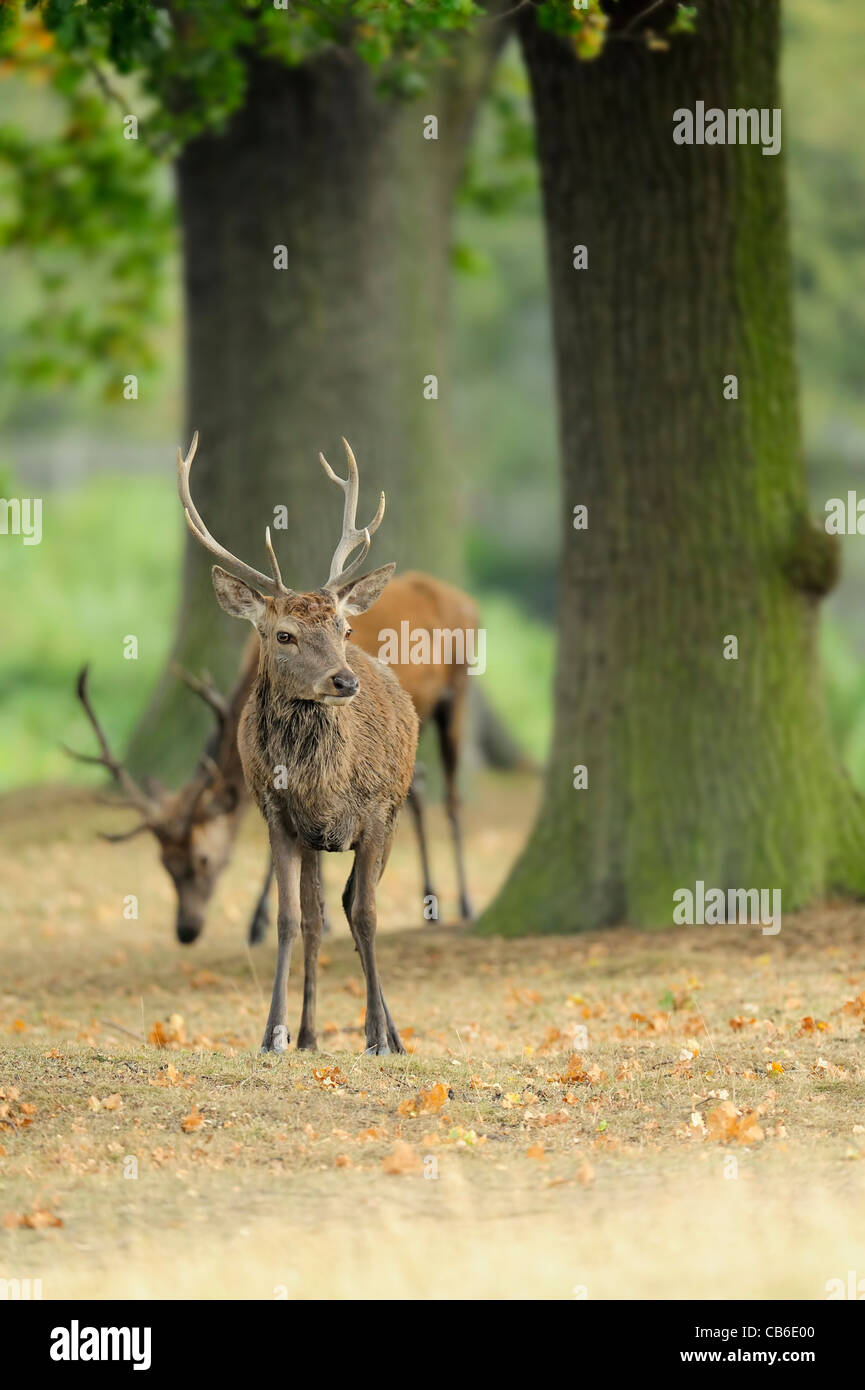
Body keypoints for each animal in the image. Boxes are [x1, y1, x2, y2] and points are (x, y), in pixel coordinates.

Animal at [177, 429, 418, 1054]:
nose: (344, 681)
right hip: (315, 840)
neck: (322, 781)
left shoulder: (376, 813)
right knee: (317, 915)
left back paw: (390, 1033)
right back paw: (311, 1034)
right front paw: (274, 1034)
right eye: (283, 634)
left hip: (394, 812)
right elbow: (288, 919)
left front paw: (378, 1037)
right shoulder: (278, 815)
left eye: (344, 628)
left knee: (352, 906)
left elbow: (368, 915)